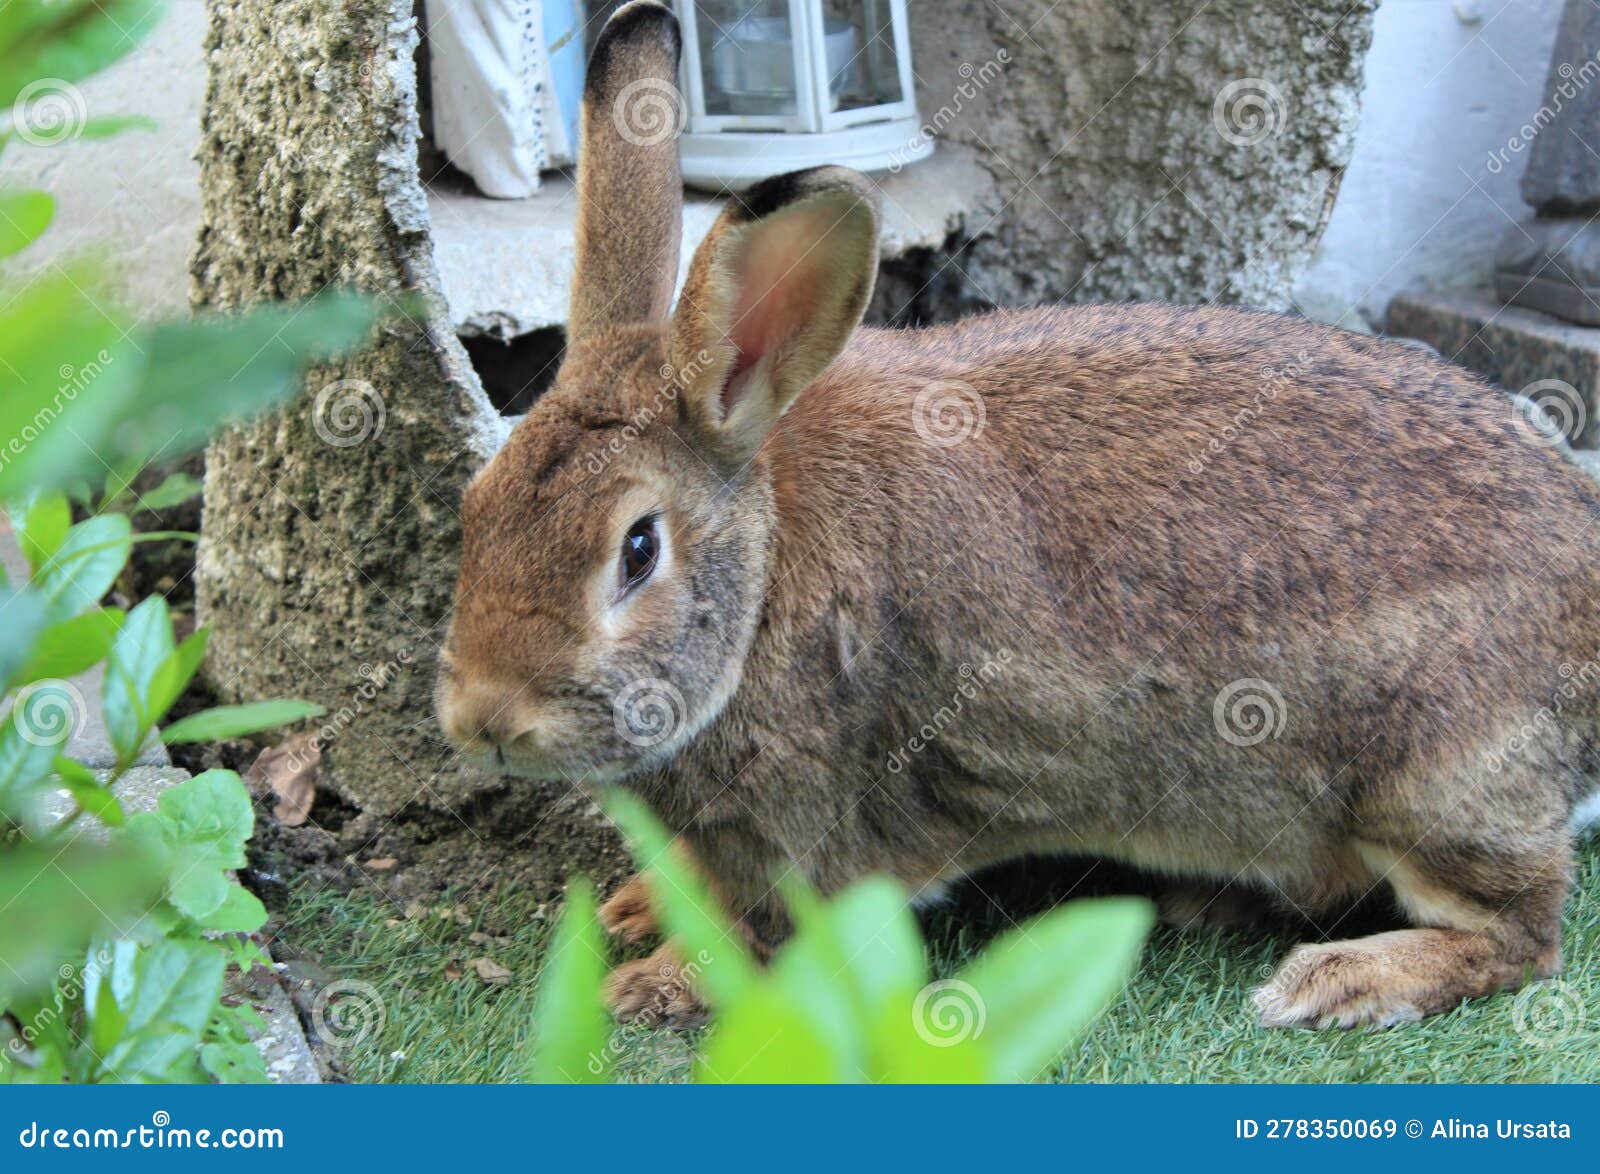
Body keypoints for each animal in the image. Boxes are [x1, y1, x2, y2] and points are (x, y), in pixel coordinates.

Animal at [437, 0, 1600, 1031]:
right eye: (472, 509)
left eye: (637, 550)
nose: (484, 720)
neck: (764, 574)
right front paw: (639, 907)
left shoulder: (818, 829)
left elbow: (763, 933)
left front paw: (655, 983)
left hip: (1435, 779)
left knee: (1522, 937)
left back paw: (1340, 980)